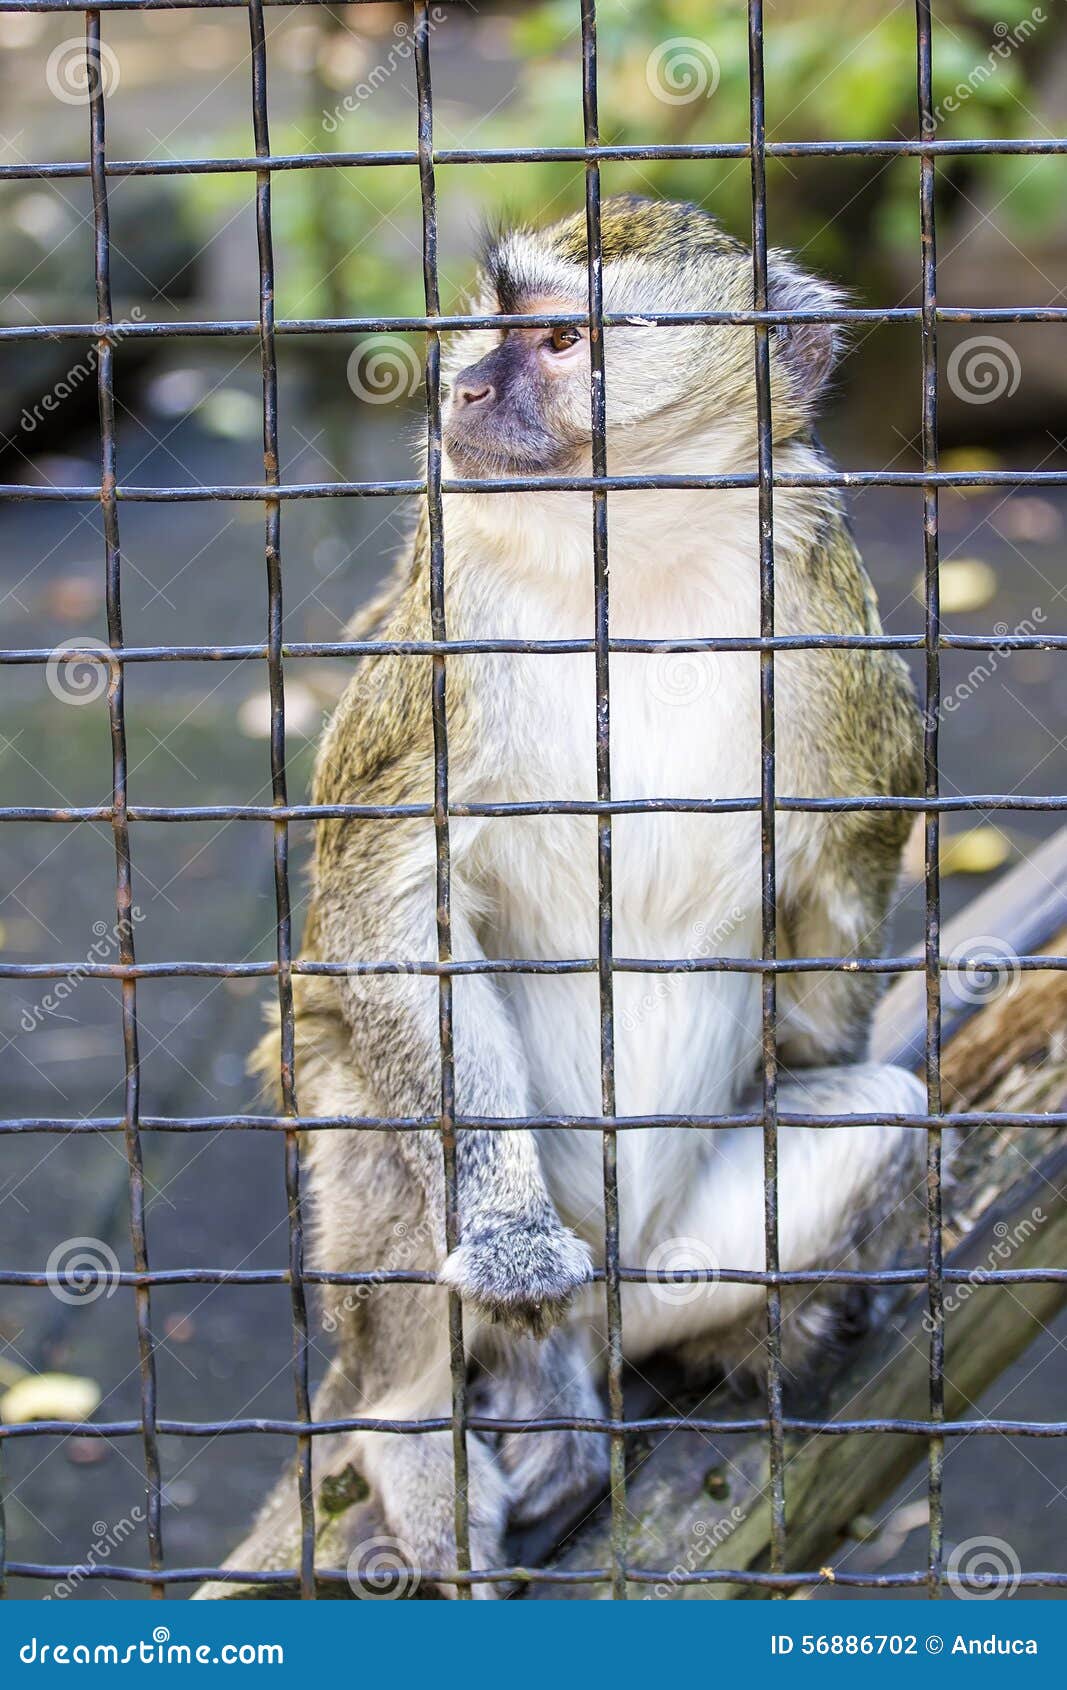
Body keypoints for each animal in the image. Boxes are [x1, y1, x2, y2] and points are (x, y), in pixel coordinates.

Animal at [208, 197, 926, 1598]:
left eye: (559, 340)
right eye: (494, 322)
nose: (463, 385)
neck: (629, 567)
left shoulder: (826, 617)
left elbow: (848, 867)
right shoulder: (447, 615)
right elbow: (392, 900)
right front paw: (504, 1231)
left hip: (663, 1261)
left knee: (882, 1111)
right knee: (365, 1101)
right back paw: (418, 1422)